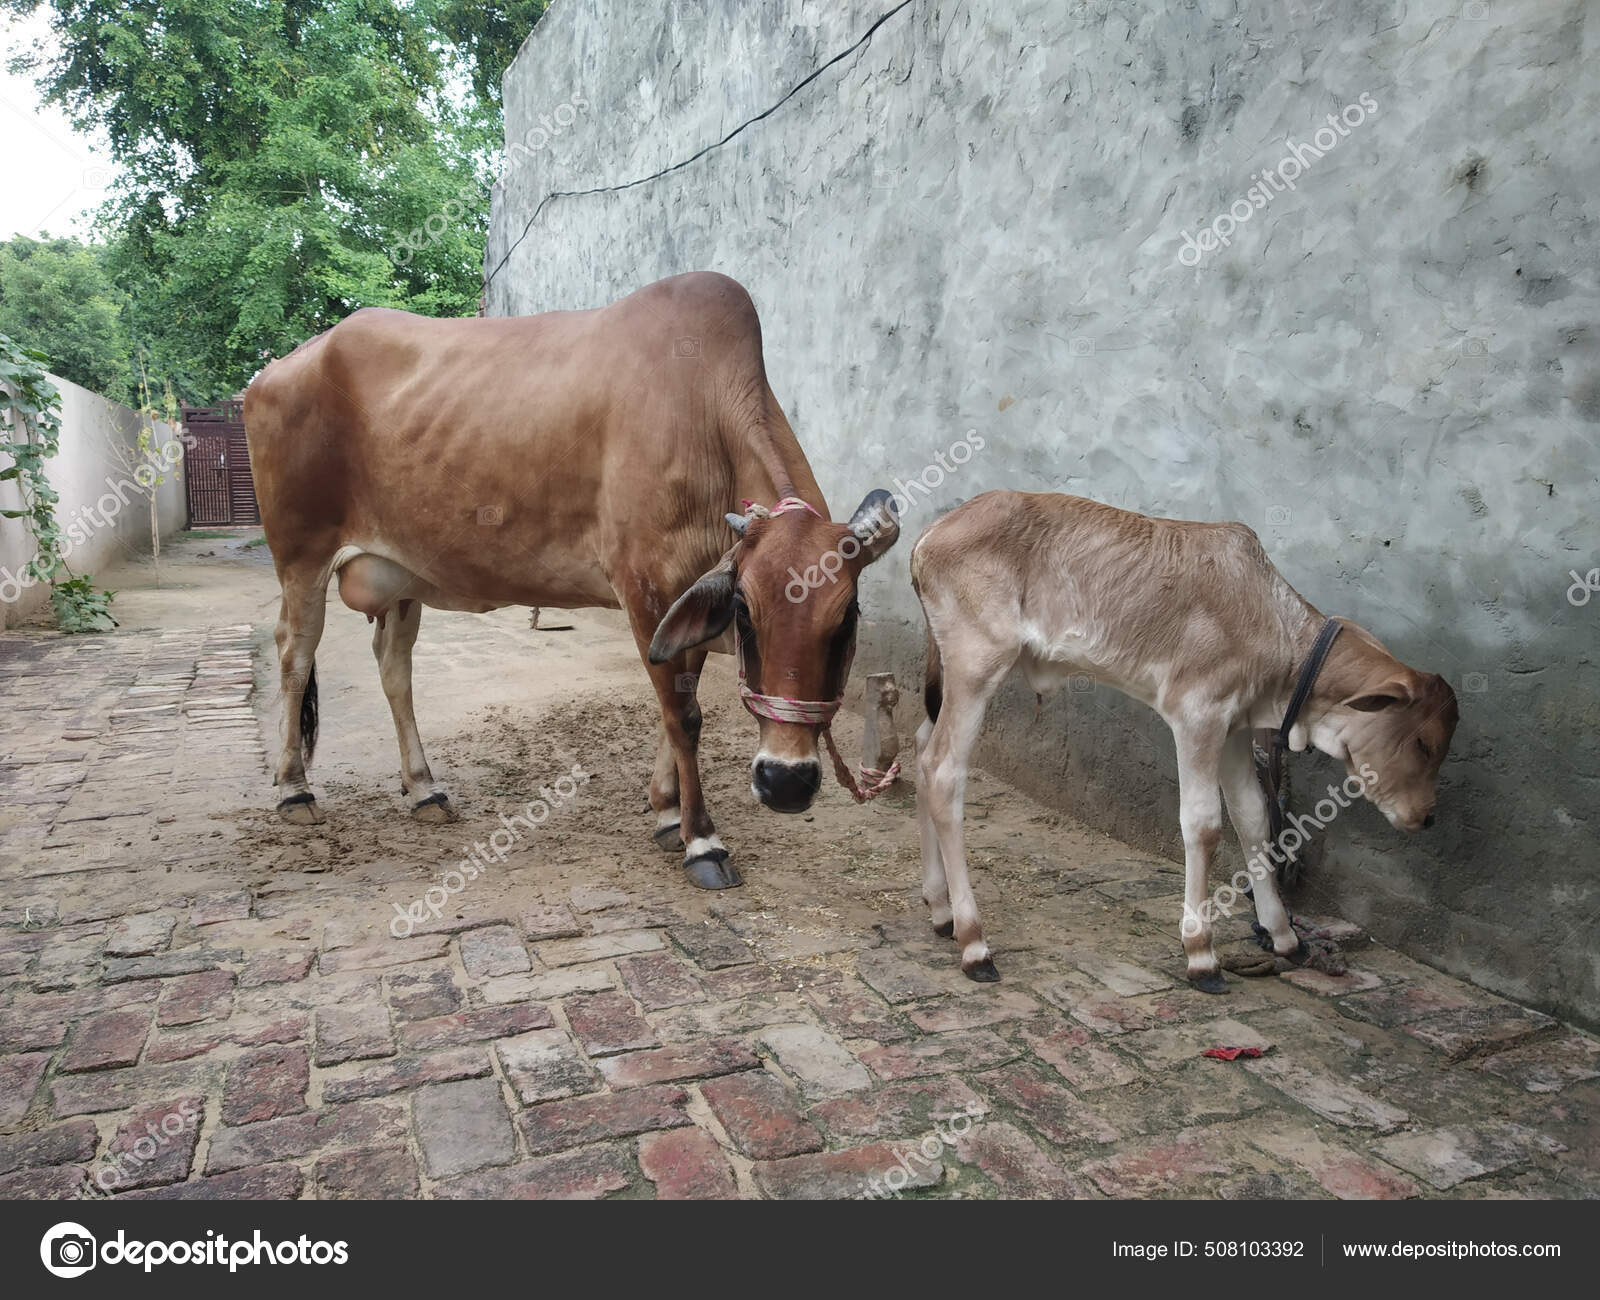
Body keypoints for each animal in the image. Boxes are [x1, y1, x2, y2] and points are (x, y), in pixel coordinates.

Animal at [243, 271, 900, 889]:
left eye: (846, 619)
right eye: (745, 611)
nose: (785, 782)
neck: (703, 414)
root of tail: (276, 369)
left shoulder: (683, 599)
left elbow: (677, 711)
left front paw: (667, 813)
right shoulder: (645, 586)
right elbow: (682, 716)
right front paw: (701, 840)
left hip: (404, 574)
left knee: (393, 666)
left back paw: (424, 787)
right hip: (301, 555)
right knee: (295, 654)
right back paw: (294, 788)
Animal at [909, 490, 1459, 985]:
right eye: (1423, 743)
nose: (1427, 816)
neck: (1273, 622)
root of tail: (932, 532)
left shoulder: (1235, 729)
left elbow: (1254, 820)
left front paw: (1283, 936)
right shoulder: (1198, 715)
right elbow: (1204, 824)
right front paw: (1201, 953)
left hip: (952, 678)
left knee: (919, 748)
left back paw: (941, 909)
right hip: (978, 666)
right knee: (942, 770)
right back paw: (974, 942)